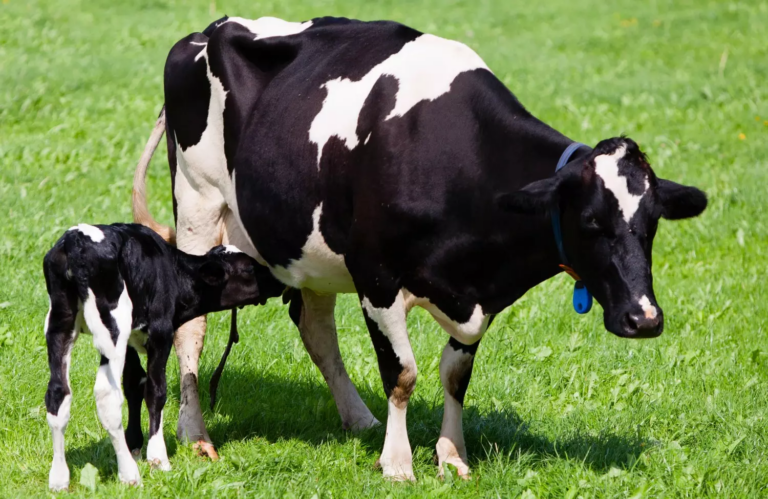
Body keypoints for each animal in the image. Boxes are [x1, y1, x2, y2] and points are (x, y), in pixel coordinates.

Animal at [43, 223, 283, 490]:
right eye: (249, 268)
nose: (279, 279)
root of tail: (75, 239)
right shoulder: (161, 333)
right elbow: (156, 391)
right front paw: (157, 457)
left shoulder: (132, 340)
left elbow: (134, 385)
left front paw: (134, 444)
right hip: (111, 326)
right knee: (107, 396)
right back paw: (129, 474)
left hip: (60, 323)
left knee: (57, 394)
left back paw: (59, 479)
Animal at [132, 16, 707, 480]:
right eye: (590, 222)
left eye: (652, 223)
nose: (644, 318)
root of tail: (207, 29)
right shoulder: (376, 275)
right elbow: (403, 374)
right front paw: (398, 462)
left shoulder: (478, 291)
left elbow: (455, 374)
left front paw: (451, 455)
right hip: (199, 205)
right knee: (192, 330)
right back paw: (195, 434)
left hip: (308, 241)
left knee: (315, 327)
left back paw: (358, 418)